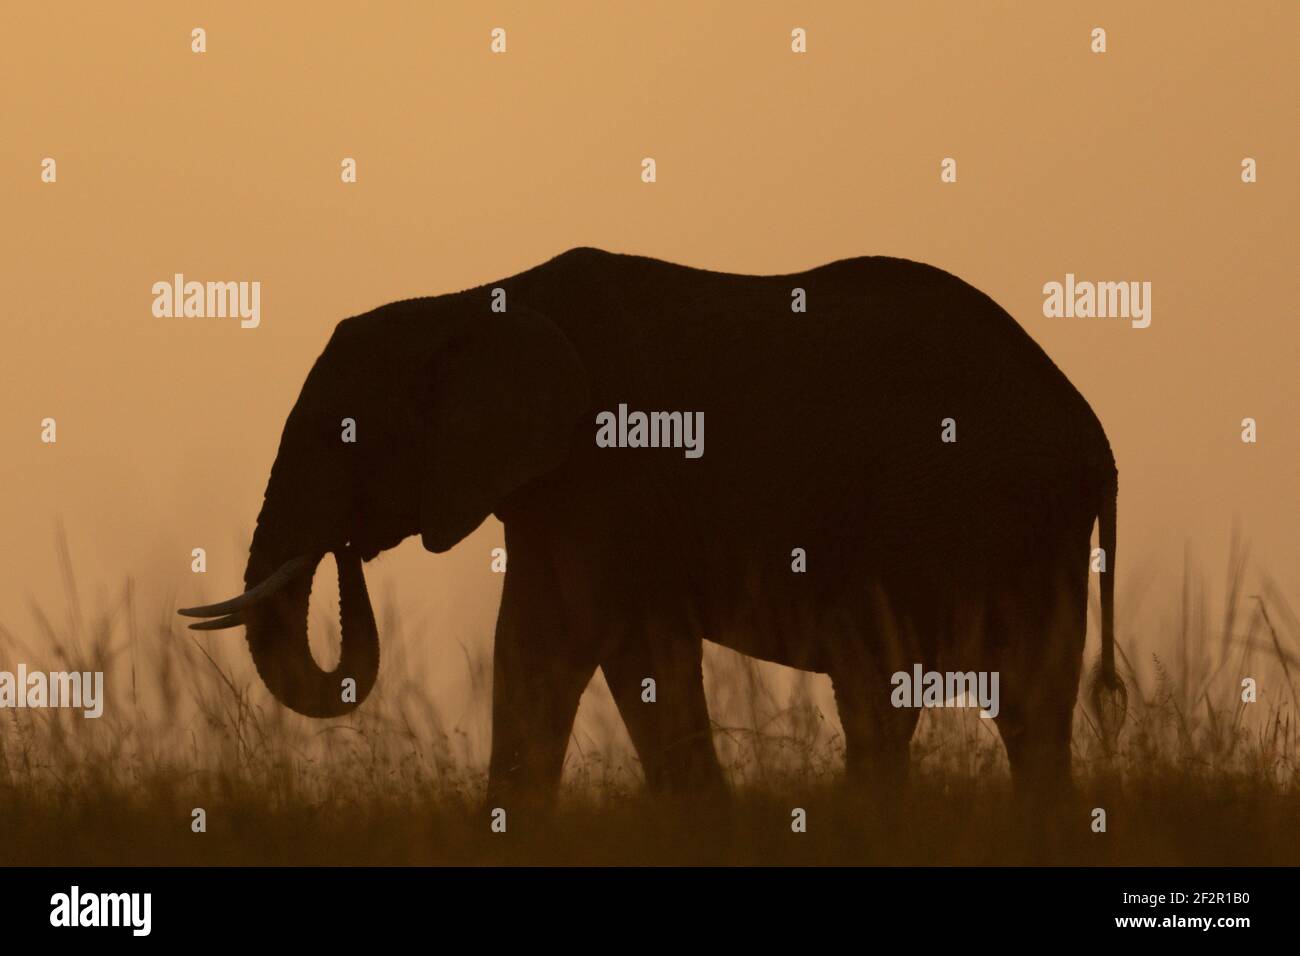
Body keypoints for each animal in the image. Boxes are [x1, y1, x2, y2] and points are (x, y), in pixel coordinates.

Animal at [179, 247, 1121, 803]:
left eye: (341, 435)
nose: (345, 548)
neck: (470, 303)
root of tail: (1095, 436)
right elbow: (548, 646)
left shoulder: (607, 468)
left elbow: (595, 641)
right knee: (1008, 707)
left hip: (983, 514)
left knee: (906, 689)